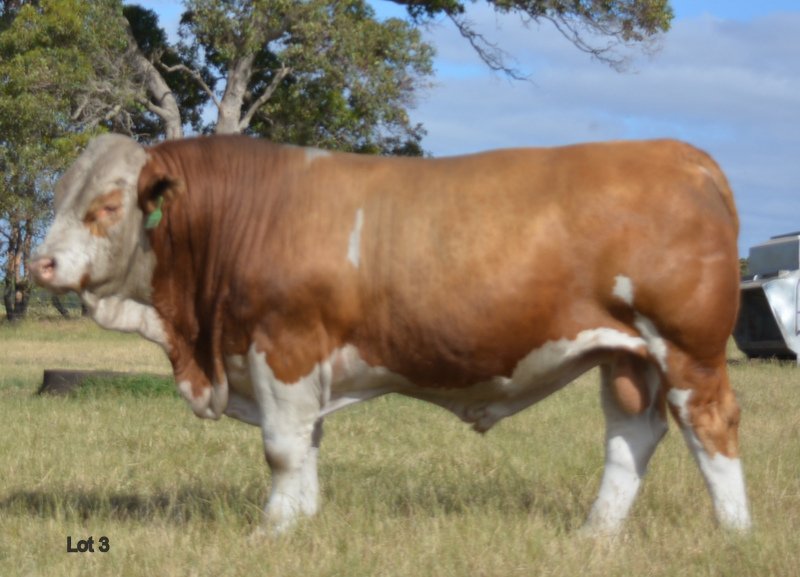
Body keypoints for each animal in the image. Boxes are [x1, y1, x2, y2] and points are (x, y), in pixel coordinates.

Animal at [31, 134, 750, 535]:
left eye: (108, 205)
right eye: (59, 195)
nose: (40, 263)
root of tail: (682, 155)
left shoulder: (283, 346)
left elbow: (282, 449)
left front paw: (270, 531)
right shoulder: (296, 364)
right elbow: (307, 445)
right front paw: (301, 522)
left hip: (688, 347)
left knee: (710, 425)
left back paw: (734, 533)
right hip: (626, 354)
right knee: (631, 434)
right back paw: (594, 535)